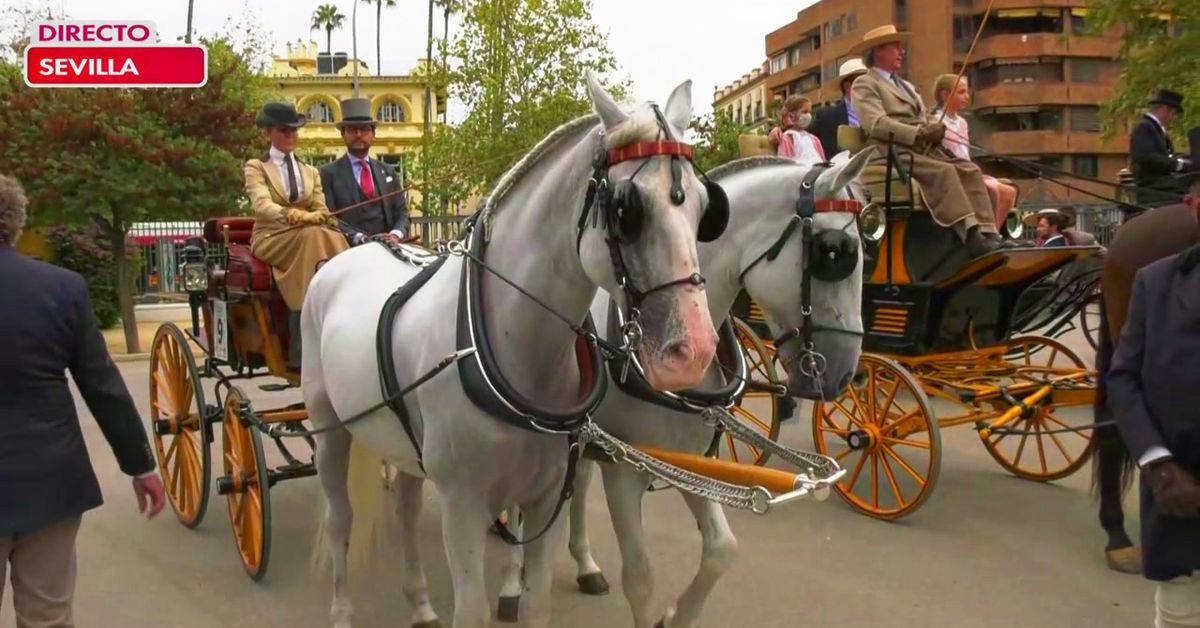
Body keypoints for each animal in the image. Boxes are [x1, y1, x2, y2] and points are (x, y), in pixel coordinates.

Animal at [302, 73, 726, 628]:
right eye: (626, 209)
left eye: (703, 206)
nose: (693, 350)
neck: (512, 351)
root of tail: (355, 251)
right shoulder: (462, 506)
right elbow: (472, 612)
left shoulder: (547, 495)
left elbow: (536, 603)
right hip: (329, 427)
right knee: (339, 518)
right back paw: (342, 608)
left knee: (406, 511)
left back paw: (419, 603)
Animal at [494, 148, 875, 628]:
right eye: (834, 252)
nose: (845, 374)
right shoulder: (625, 466)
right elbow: (640, 576)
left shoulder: (691, 458)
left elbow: (722, 549)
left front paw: (678, 614)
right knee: (518, 505)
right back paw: (511, 584)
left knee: (576, 484)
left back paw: (585, 565)